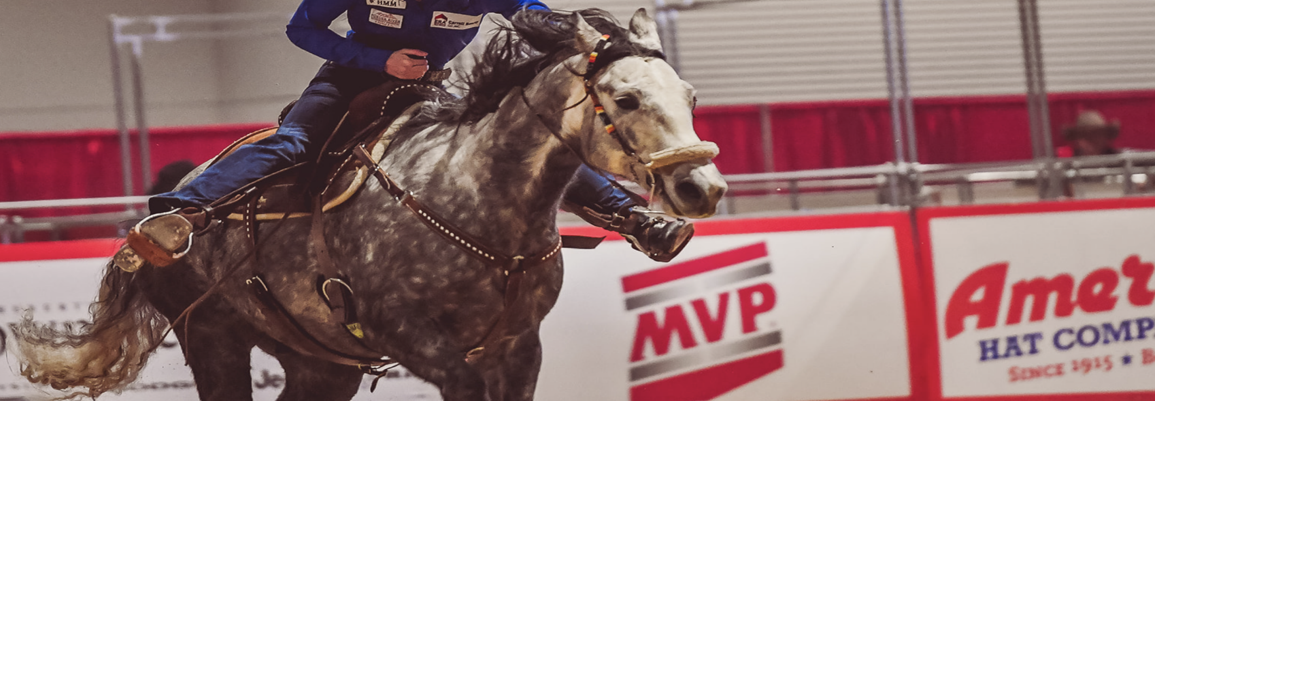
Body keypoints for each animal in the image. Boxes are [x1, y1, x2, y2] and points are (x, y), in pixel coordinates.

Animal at [11, 8, 727, 401]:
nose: (704, 188)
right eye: (626, 99)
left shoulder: (520, 346)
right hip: (211, 336)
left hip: (320, 365)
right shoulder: (412, 337)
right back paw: (168, 224)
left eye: (690, 96)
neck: (472, 198)